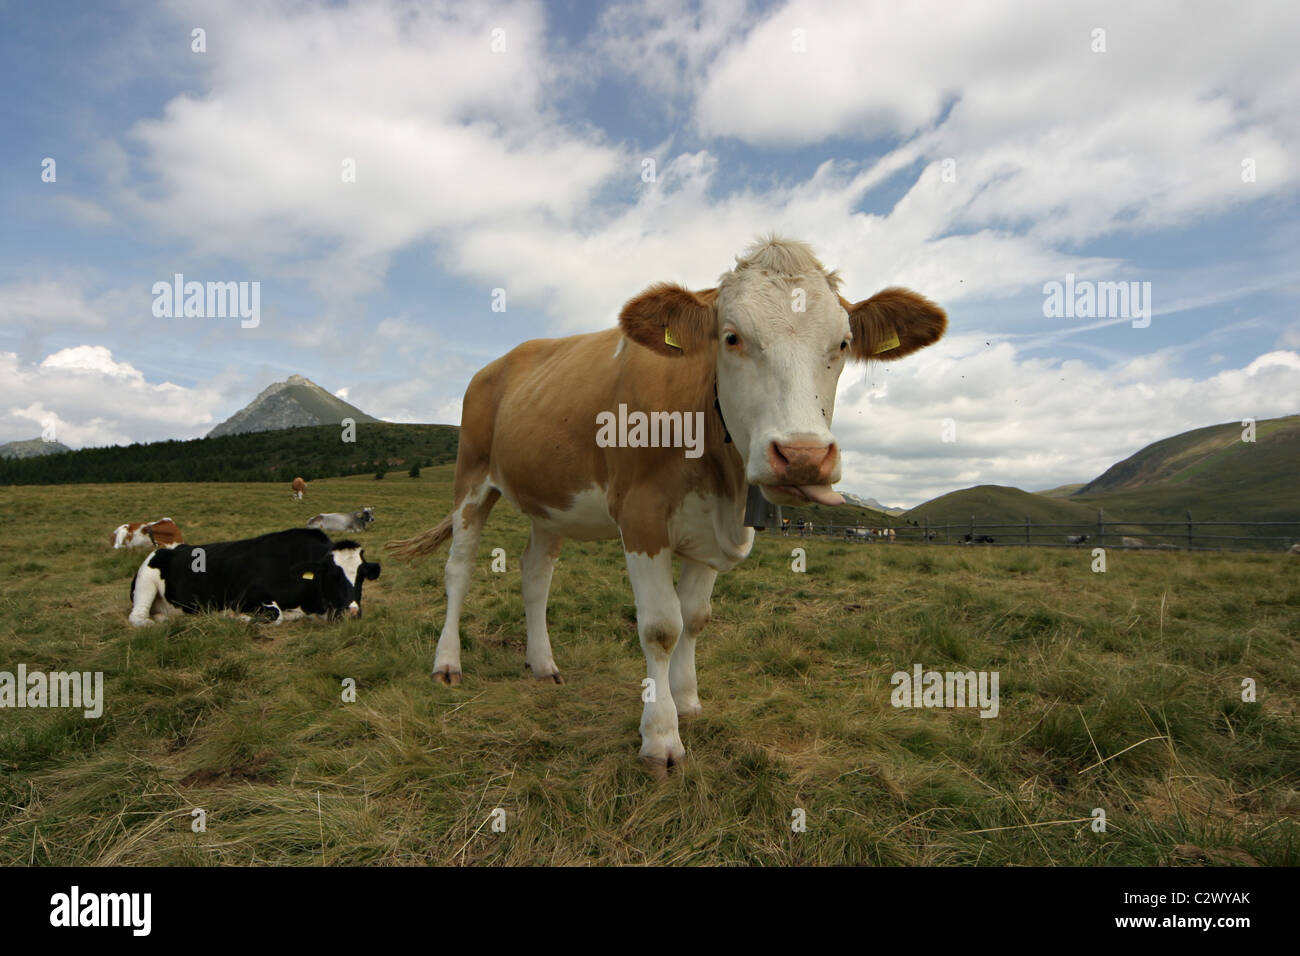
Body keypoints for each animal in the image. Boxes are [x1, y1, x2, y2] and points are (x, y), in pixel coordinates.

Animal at [128, 528, 379, 626]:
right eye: (332, 574)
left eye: (361, 576)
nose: (353, 612)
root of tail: (169, 547)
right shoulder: (243, 598)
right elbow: (276, 615)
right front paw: (236, 618)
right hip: (145, 583)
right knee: (137, 616)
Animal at [388, 236, 946, 768]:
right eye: (732, 337)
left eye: (843, 343)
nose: (803, 456)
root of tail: (499, 363)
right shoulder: (641, 516)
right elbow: (661, 626)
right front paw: (660, 736)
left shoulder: (711, 534)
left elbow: (695, 618)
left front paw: (688, 701)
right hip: (472, 477)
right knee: (459, 568)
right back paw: (447, 663)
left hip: (551, 501)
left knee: (535, 575)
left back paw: (542, 664)